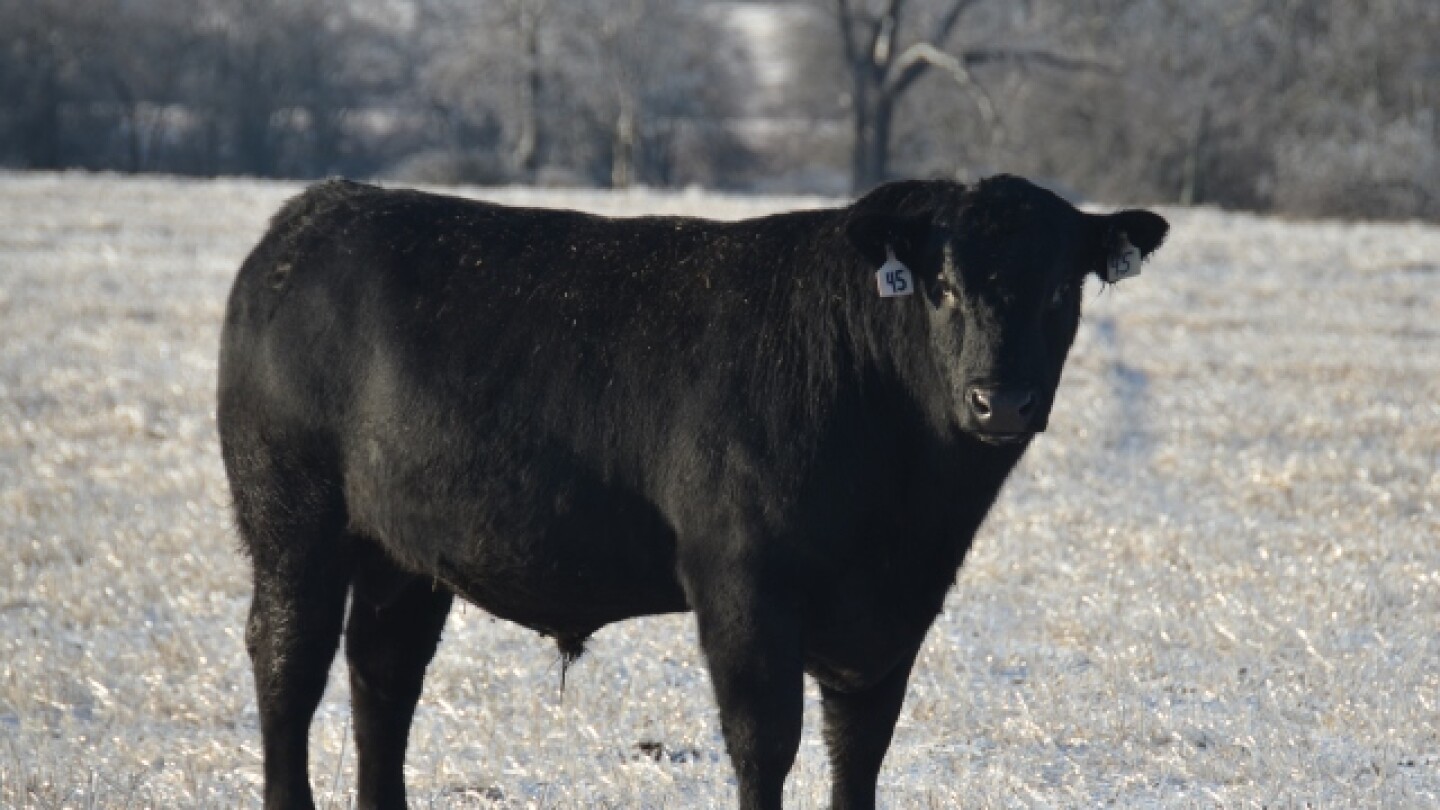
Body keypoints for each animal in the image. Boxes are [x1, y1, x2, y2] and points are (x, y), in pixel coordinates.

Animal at [218, 175, 1167, 810]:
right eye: (940, 286)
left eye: (1061, 288)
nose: (998, 400)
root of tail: (314, 212)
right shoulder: (742, 585)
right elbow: (764, 742)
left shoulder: (892, 615)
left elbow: (859, 749)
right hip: (292, 520)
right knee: (288, 663)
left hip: (403, 554)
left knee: (383, 675)